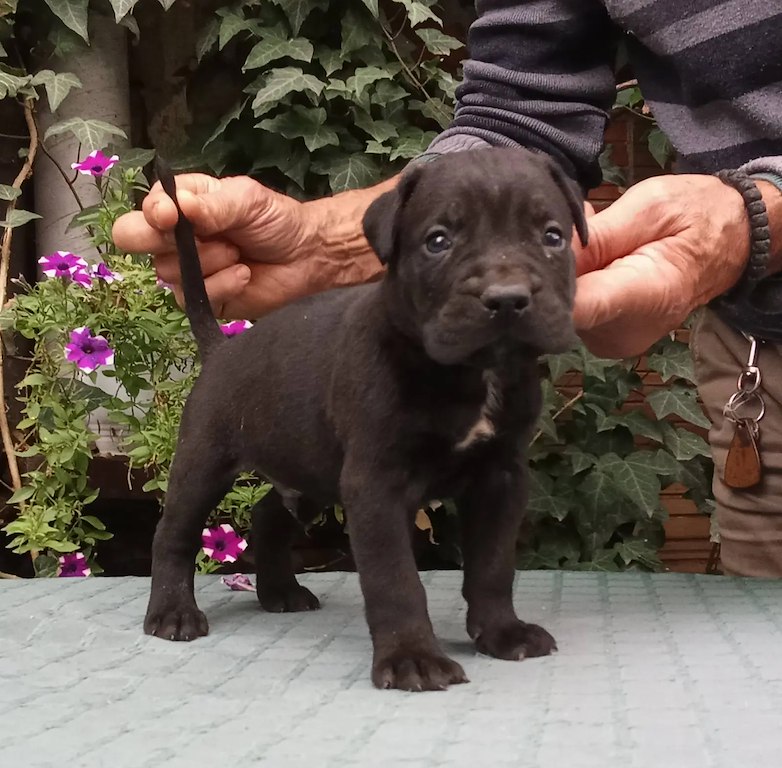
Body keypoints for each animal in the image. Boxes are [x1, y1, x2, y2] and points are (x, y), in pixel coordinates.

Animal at [145, 147, 588, 692]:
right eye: (438, 241)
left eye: (552, 236)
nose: (507, 297)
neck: (472, 374)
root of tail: (222, 347)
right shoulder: (377, 485)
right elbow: (395, 579)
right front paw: (413, 657)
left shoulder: (501, 479)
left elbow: (493, 564)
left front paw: (503, 633)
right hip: (203, 462)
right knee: (174, 534)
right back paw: (172, 613)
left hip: (306, 473)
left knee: (269, 516)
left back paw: (281, 592)